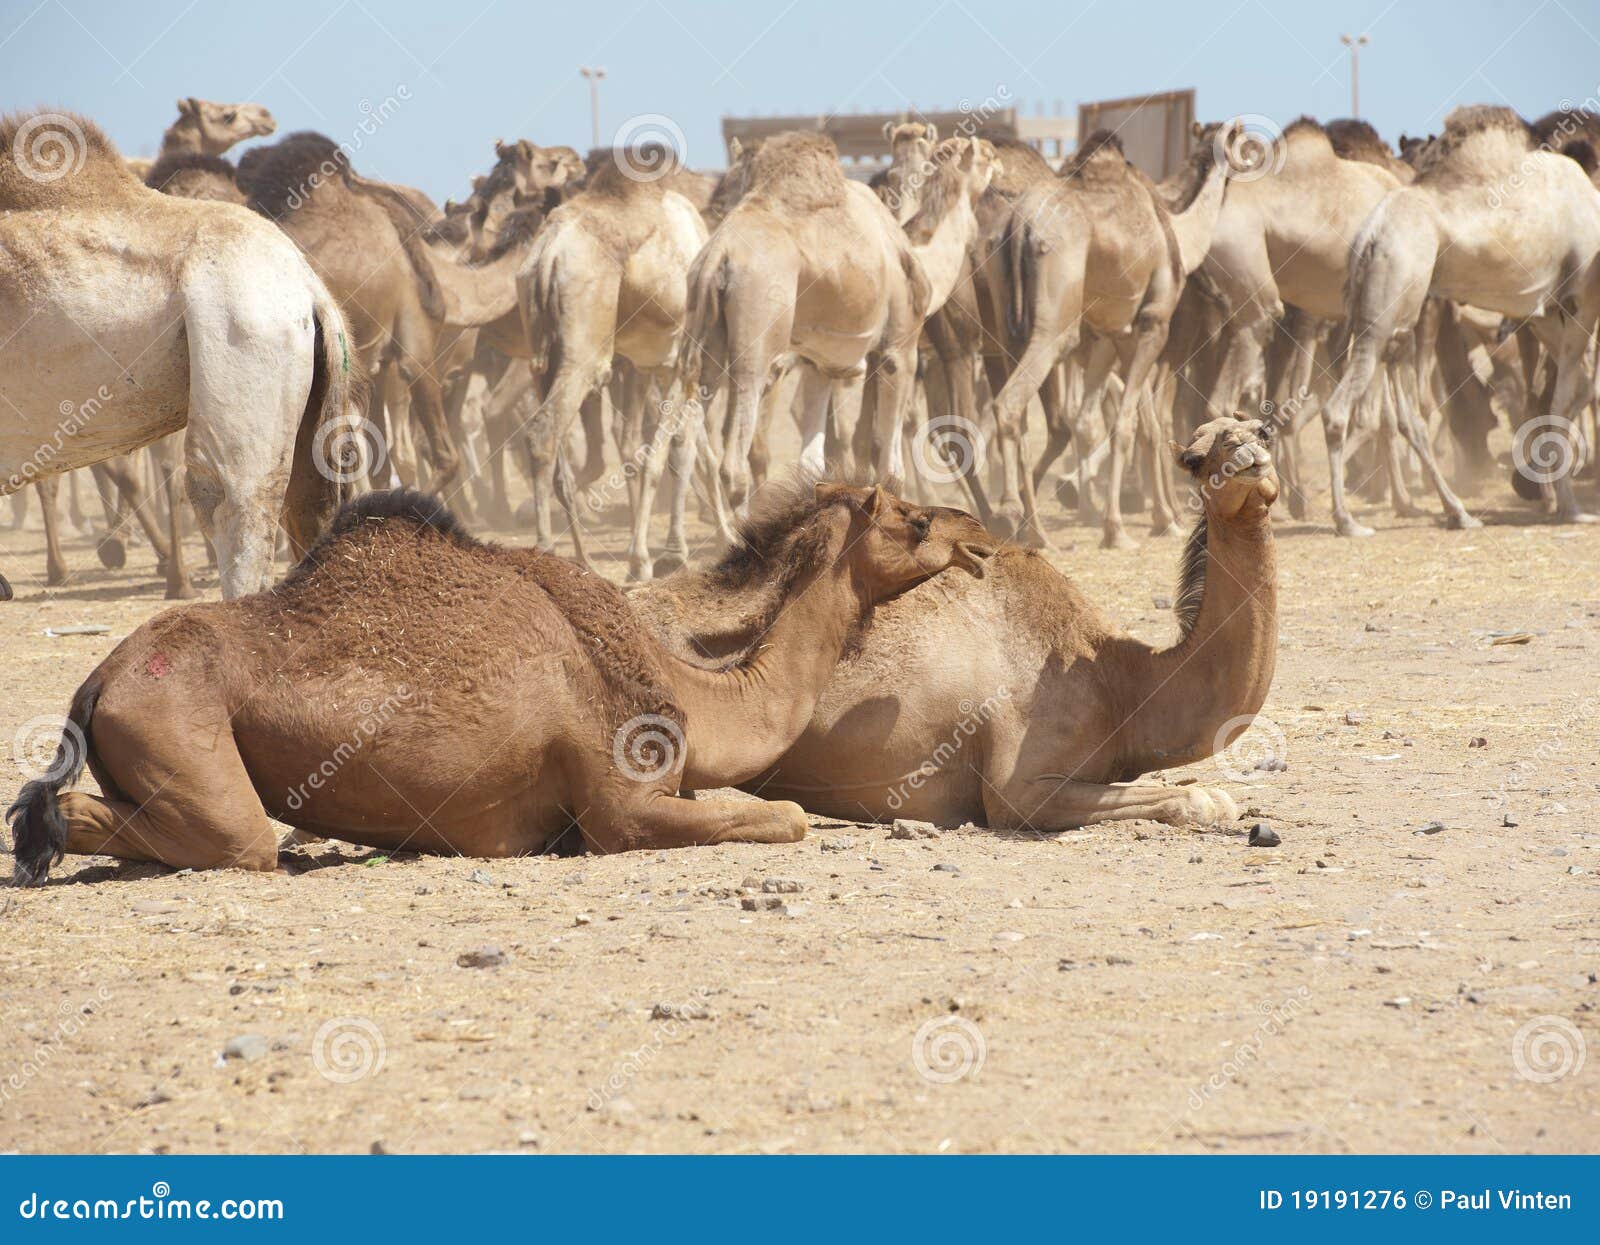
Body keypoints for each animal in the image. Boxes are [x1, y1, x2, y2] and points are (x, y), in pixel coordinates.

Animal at [7, 484, 994, 883]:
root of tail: (97, 681)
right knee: (165, 827)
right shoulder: (621, 807)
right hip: (182, 735)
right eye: (911, 518)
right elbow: (784, 815)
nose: (979, 530)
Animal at [635, 416, 1277, 830]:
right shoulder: (1020, 789)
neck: (1122, 682)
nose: (1250, 452)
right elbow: (1201, 800)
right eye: (1195, 457)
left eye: (1263, 426)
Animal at [1326, 105, 1600, 527]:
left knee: (1405, 412)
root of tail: (1368, 235)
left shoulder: (1545, 312)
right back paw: (1349, 521)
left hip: (1398, 314)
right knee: (1339, 409)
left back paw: (1456, 510)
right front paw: (1570, 507)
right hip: (1385, 311)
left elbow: (1567, 392)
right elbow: (1564, 398)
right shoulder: (1581, 299)